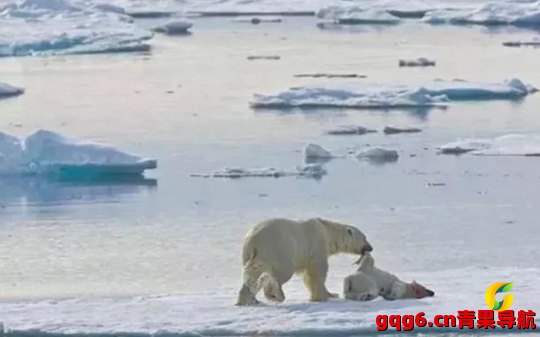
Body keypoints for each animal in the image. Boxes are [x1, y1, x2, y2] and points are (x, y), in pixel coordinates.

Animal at [236, 217, 376, 306]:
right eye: (364, 238)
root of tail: (253, 241)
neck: (327, 231)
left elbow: (306, 275)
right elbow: (318, 271)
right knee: (279, 274)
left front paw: (331, 294)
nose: (370, 248)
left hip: (249, 255)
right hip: (278, 250)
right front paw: (323, 296)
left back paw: (248, 301)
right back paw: (276, 295)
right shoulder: (318, 245)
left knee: (253, 275)